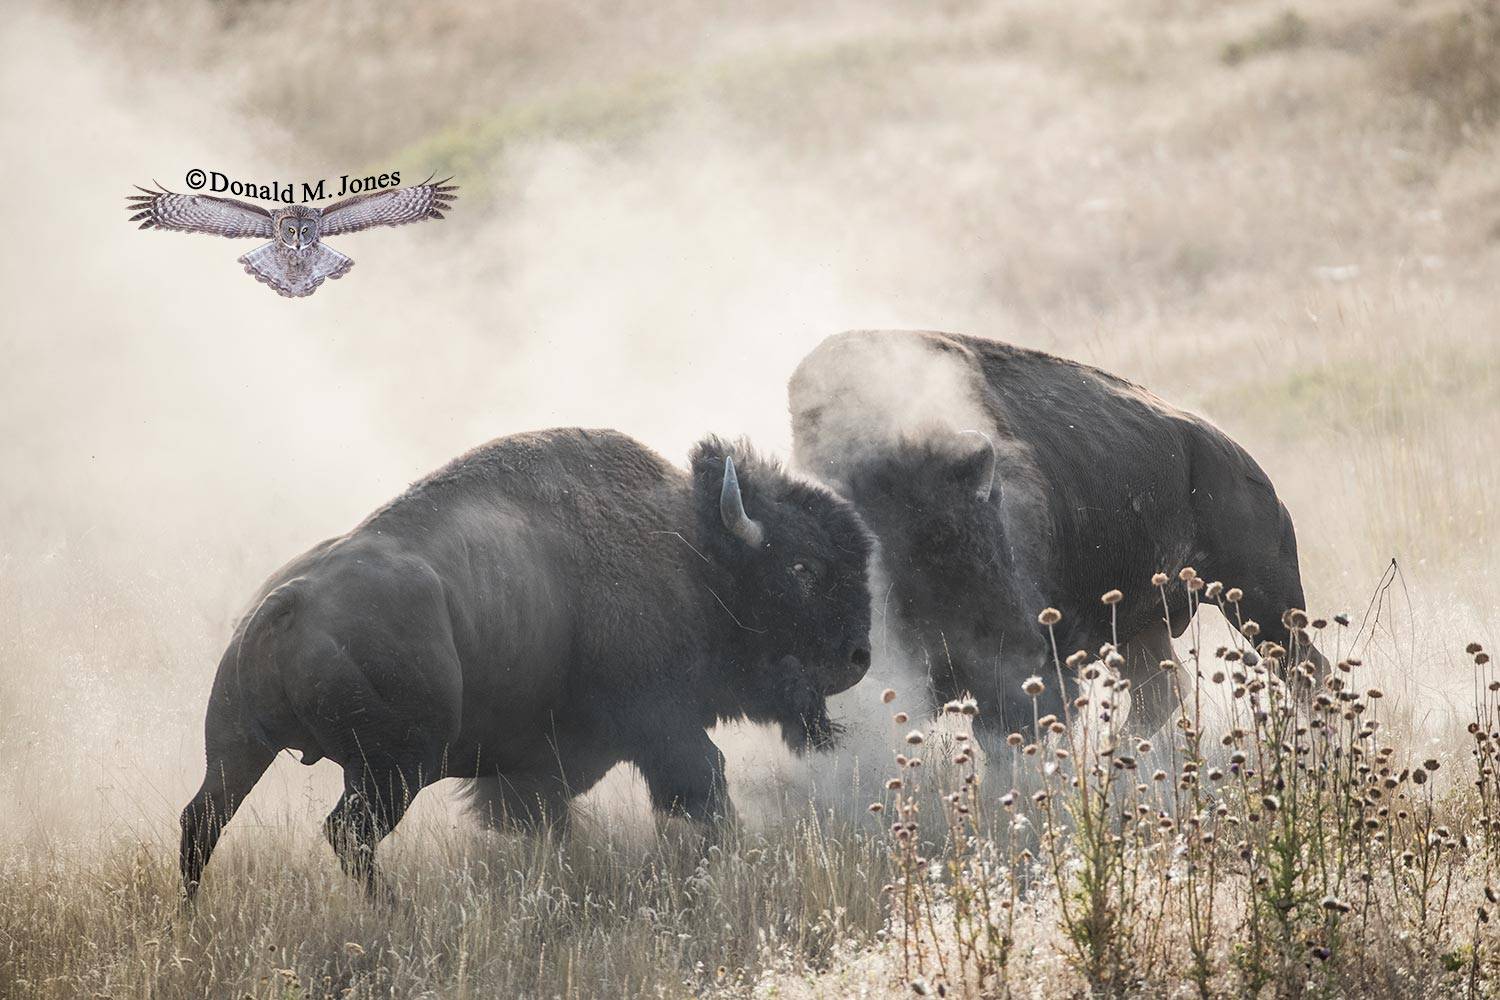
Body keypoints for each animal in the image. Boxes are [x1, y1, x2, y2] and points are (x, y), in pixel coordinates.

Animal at [180, 428, 873, 898]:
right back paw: (397, 912)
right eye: (803, 567)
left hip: (239, 749)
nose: (858, 657)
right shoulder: (663, 727)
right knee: (344, 835)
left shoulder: (538, 770)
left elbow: (543, 818)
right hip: (391, 769)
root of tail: (285, 602)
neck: (690, 554)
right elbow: (704, 787)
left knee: (200, 823)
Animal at [790, 329, 1326, 741]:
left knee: (1305, 669)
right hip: (1145, 625)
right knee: (1160, 693)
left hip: (1262, 601)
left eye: (987, 539)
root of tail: (1243, 461)